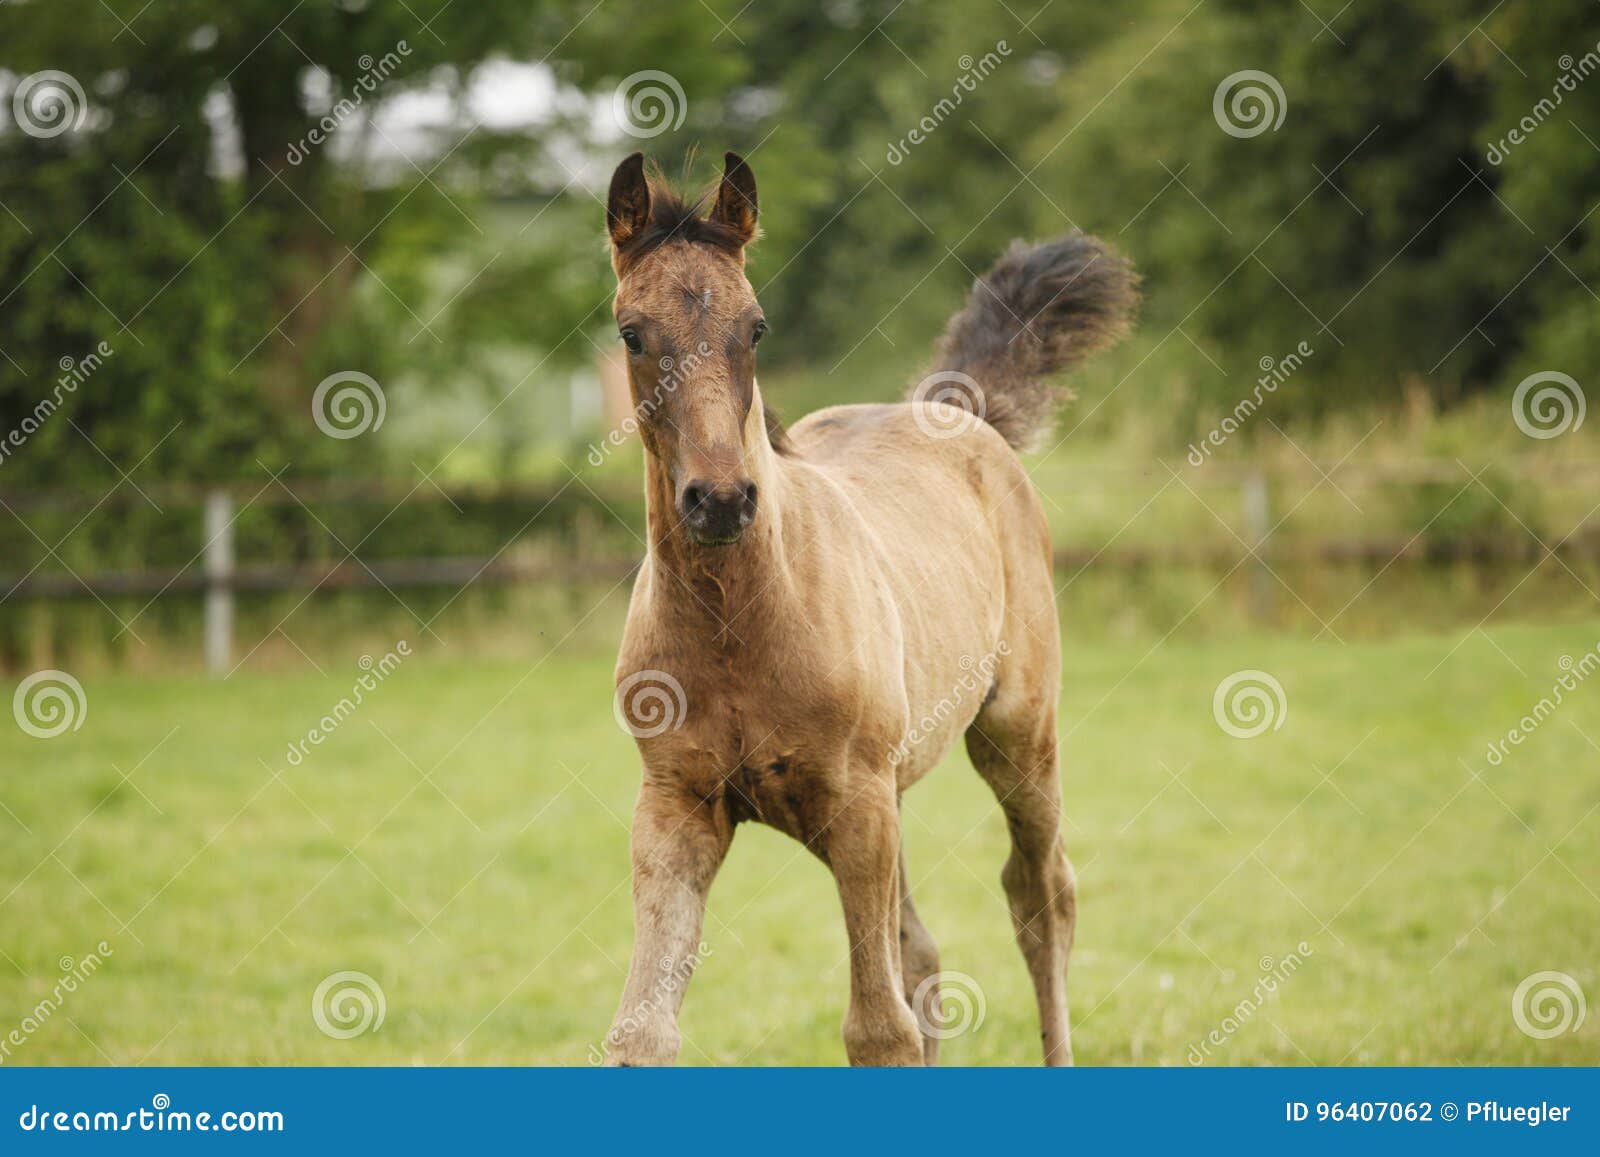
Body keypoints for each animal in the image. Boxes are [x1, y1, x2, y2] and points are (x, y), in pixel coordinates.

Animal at [601, 151, 1137, 1065]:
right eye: (633, 332)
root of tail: (954, 410)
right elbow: (643, 1030)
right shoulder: (676, 806)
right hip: (894, 791)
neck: (739, 620)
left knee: (1042, 898)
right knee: (922, 951)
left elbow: (879, 1029)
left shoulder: (857, 804)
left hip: (1015, 735)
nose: (721, 499)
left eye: (756, 327)